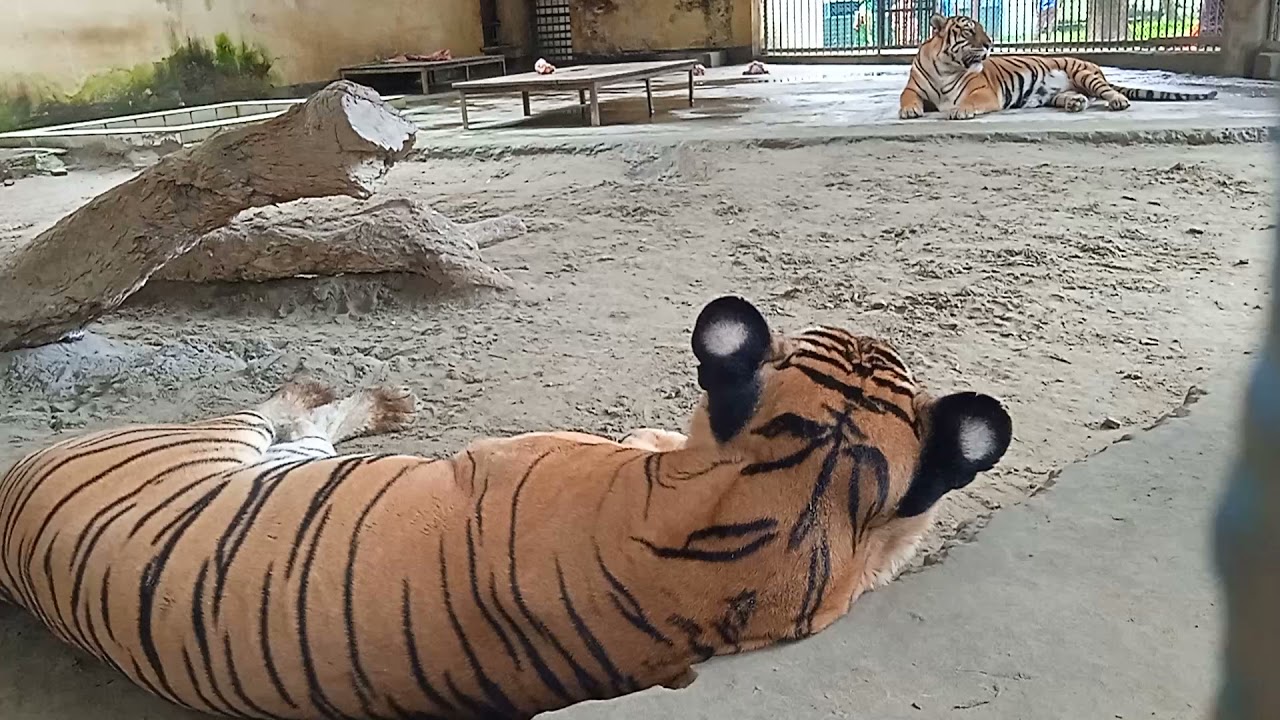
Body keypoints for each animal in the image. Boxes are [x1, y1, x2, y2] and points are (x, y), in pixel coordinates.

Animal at [900, 13, 1219, 120]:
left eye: (983, 29)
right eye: (969, 31)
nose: (990, 44)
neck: (946, 66)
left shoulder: (985, 93)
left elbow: (970, 101)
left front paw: (959, 110)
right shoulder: (915, 87)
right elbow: (907, 97)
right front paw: (910, 110)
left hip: (1083, 73)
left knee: (1106, 91)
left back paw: (1118, 101)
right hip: (1056, 91)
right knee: (1077, 97)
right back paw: (1075, 103)